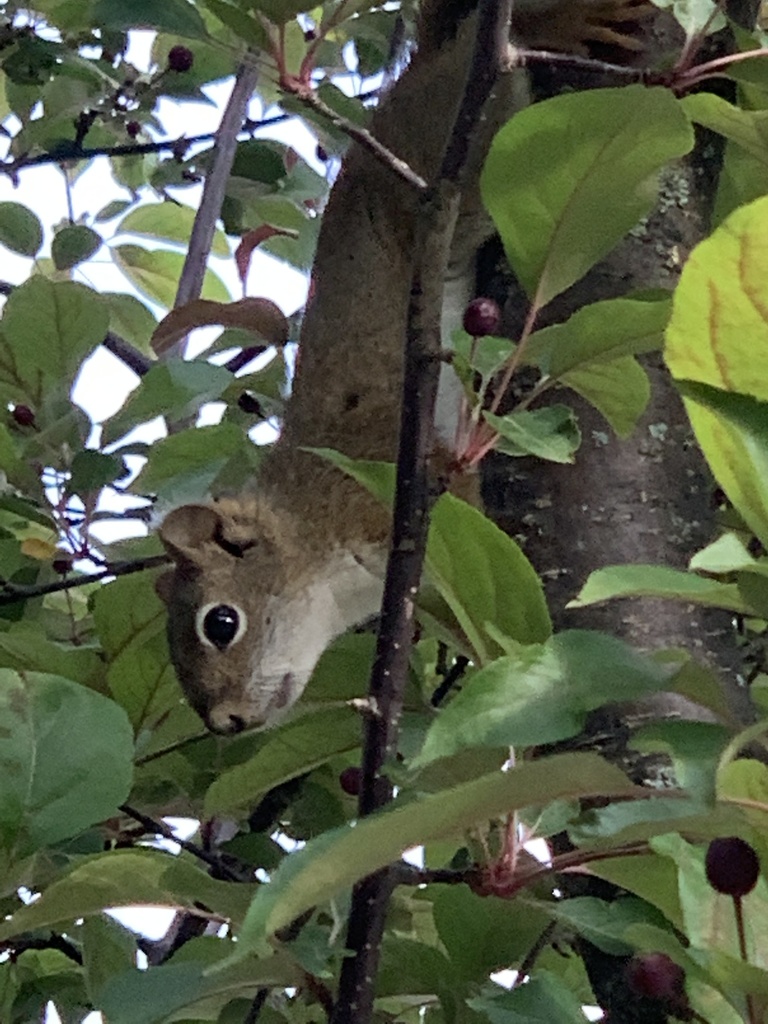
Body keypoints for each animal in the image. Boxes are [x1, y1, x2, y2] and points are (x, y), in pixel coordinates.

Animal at [157, 0, 648, 734]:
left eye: (221, 623)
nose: (225, 724)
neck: (311, 534)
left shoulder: (385, 472)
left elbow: (466, 502)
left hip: (449, 155)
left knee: (478, 66)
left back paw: (546, 24)